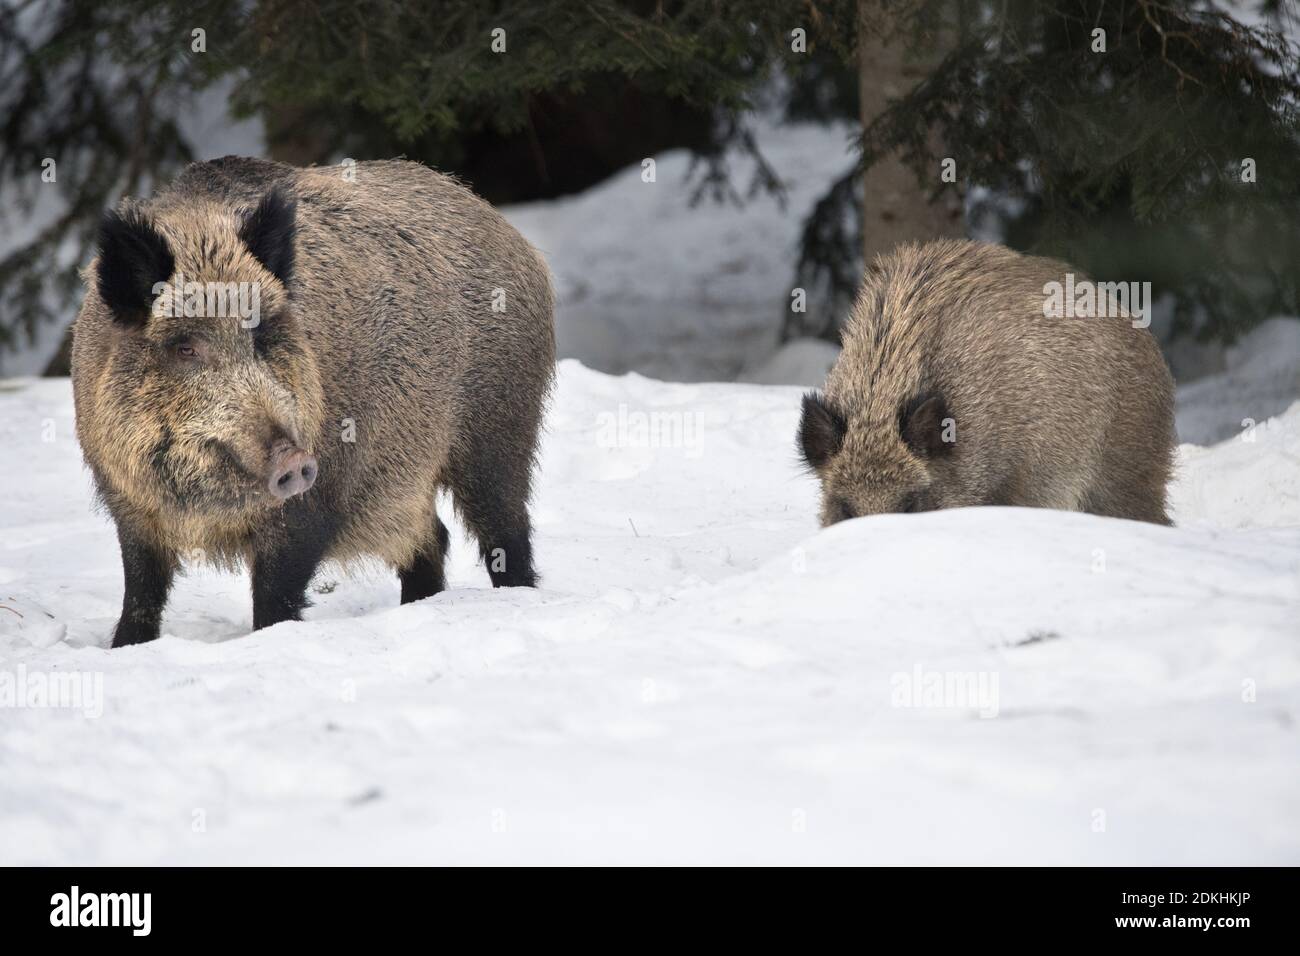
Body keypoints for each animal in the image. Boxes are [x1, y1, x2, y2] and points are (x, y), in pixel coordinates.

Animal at [72, 157, 555, 646]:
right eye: (185, 348)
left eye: (260, 334)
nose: (295, 459)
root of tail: (514, 237)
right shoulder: (127, 503)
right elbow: (140, 591)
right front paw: (125, 646)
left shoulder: (314, 505)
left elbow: (275, 598)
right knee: (432, 539)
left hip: (500, 430)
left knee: (505, 530)